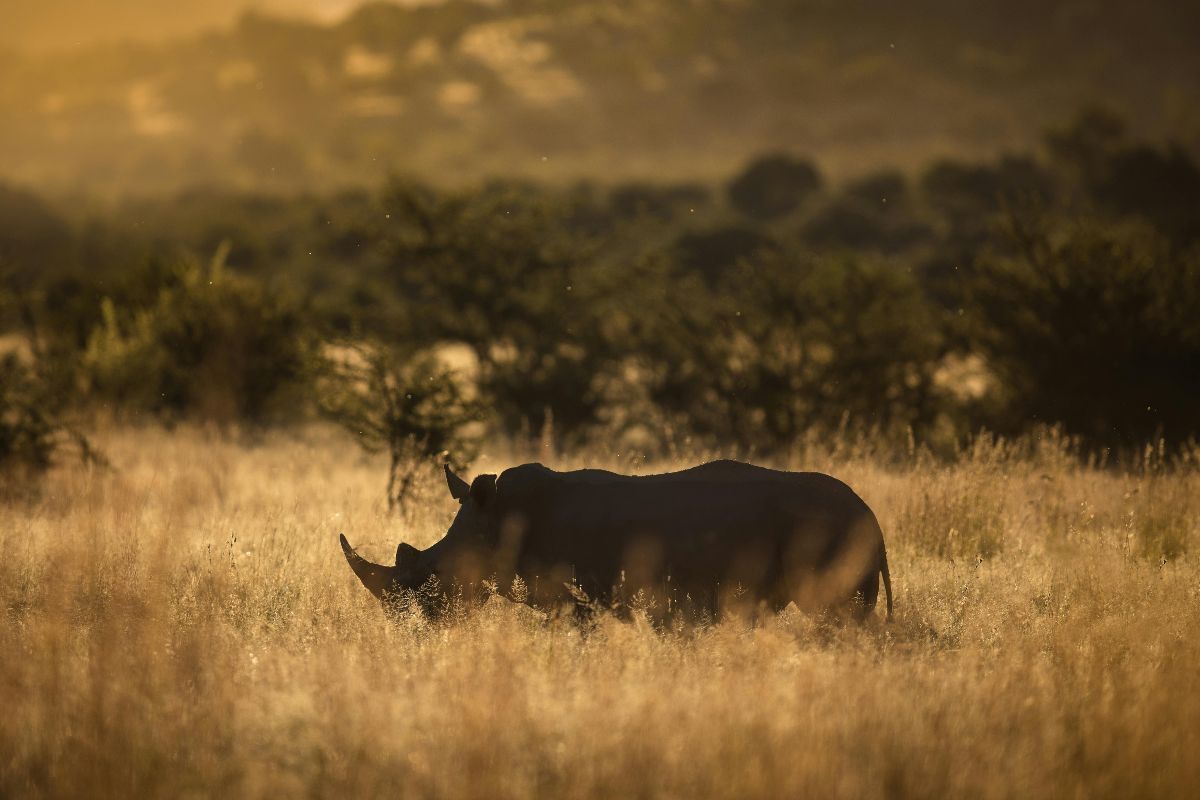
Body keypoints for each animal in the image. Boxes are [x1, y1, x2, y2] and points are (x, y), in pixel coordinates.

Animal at [340, 460, 893, 622]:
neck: (498, 518)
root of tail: (875, 519)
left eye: (435, 575)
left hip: (839, 535)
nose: (407, 621)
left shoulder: (579, 596)